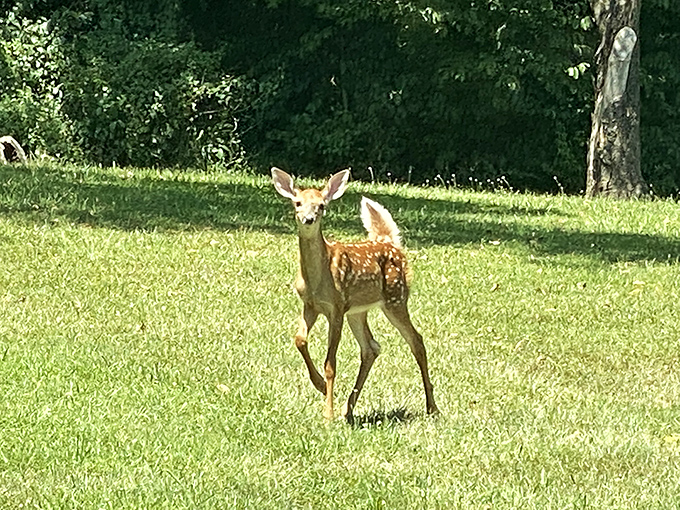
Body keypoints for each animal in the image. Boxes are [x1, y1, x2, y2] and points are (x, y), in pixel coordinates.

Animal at [271, 167, 439, 424]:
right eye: (297, 203)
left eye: (321, 205)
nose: (308, 219)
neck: (317, 279)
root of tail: (388, 242)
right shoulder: (311, 305)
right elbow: (299, 340)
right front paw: (320, 386)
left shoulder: (337, 307)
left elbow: (331, 363)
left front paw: (327, 412)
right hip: (359, 311)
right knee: (371, 347)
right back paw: (347, 409)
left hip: (395, 298)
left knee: (416, 341)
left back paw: (432, 407)